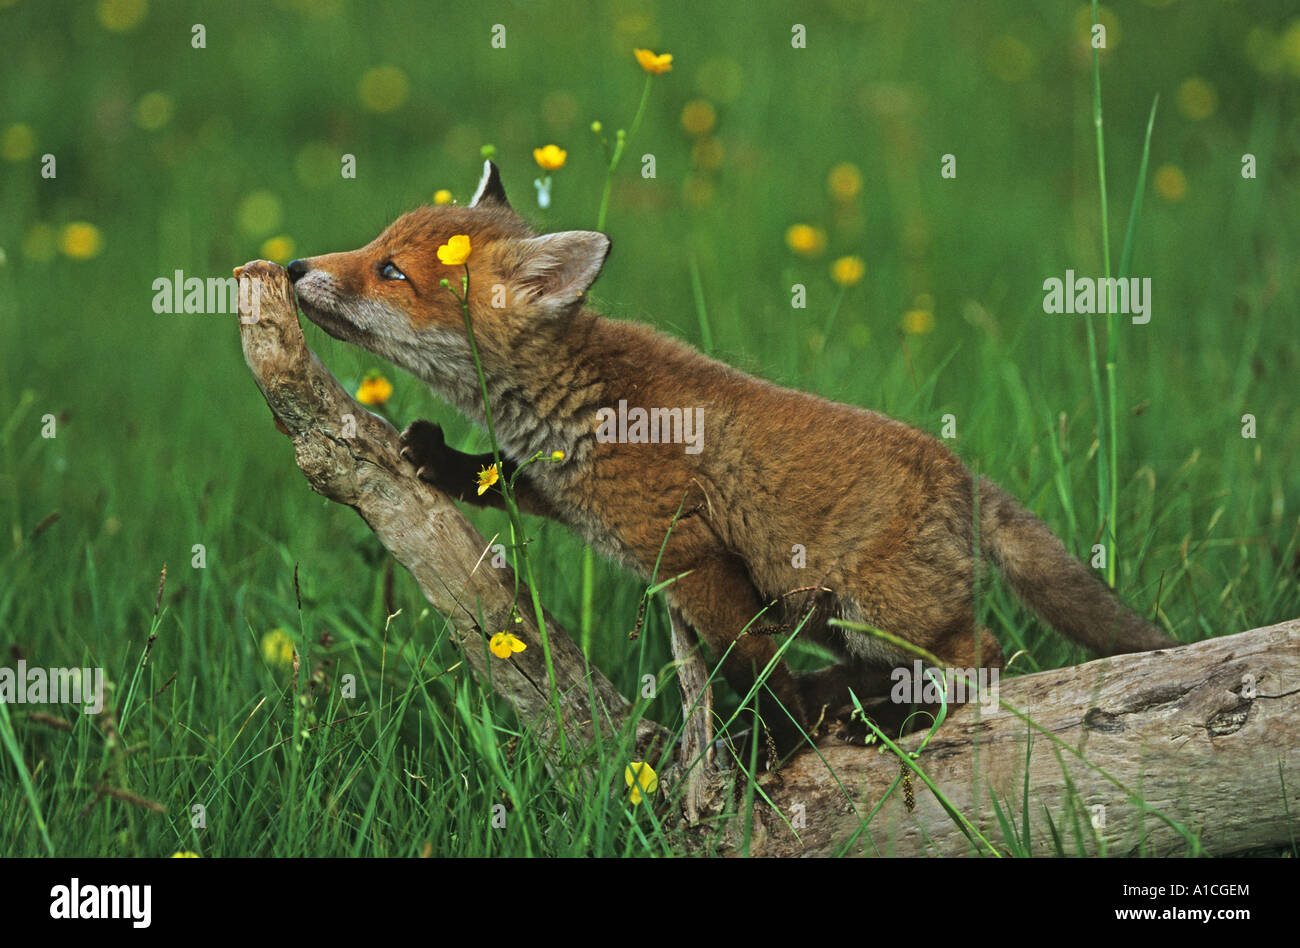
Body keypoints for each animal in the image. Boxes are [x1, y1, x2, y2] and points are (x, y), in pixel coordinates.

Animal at [286, 160, 1177, 759]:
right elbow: (505, 480)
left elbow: (751, 666)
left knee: (983, 660)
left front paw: (777, 750)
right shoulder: (572, 492)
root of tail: (963, 476)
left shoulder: (690, 557)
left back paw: (914, 723)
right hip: (837, 622)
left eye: (390, 271)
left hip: (883, 613)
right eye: (376, 246)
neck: (579, 395)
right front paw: (436, 458)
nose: (294, 266)